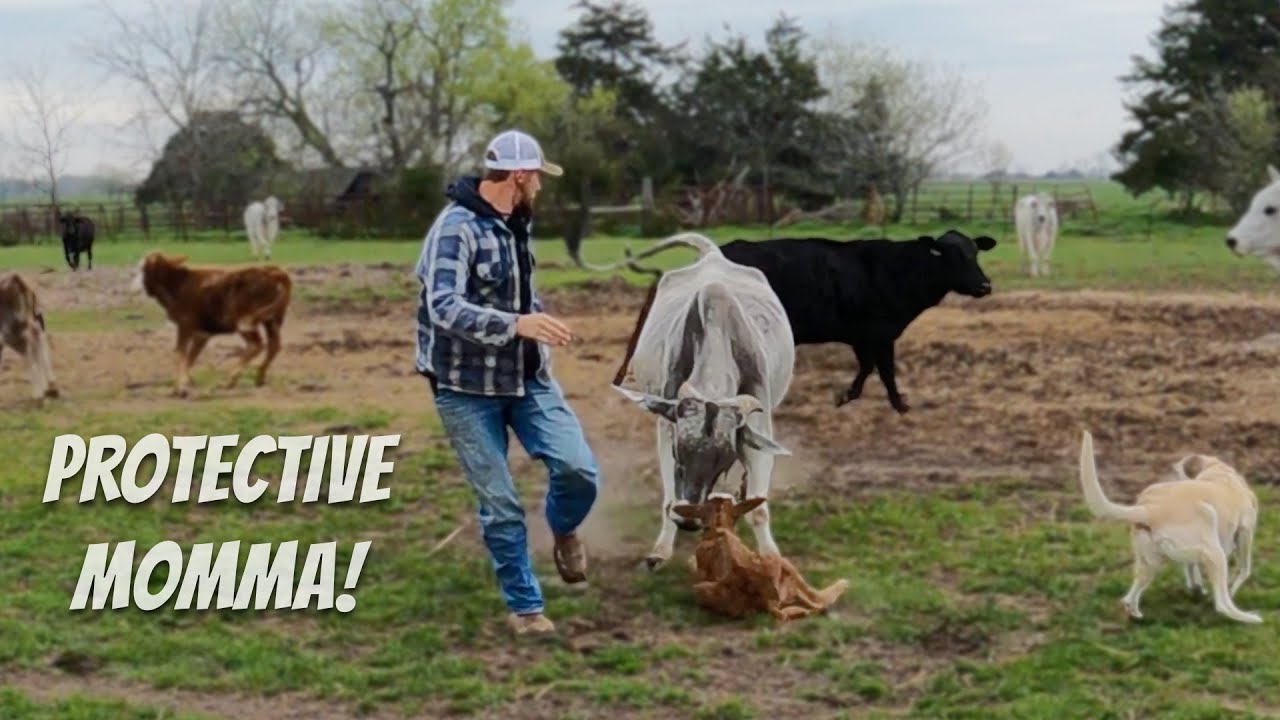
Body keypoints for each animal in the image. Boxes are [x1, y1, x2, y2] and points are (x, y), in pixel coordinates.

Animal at [129, 252, 292, 397]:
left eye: (143, 268)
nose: (133, 287)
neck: (178, 285)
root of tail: (271, 271)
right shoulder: (201, 333)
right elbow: (191, 357)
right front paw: (184, 383)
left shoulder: (185, 325)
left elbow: (181, 353)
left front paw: (180, 388)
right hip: (273, 320)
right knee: (274, 345)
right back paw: (259, 377)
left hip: (245, 322)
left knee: (256, 345)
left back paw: (230, 380)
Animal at [605, 232, 795, 571]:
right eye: (680, 449)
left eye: (724, 458)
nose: (689, 522)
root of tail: (713, 255)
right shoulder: (667, 427)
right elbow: (670, 497)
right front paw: (661, 549)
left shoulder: (758, 429)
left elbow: (757, 507)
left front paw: (769, 555)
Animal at [709, 230, 997, 414]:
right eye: (953, 256)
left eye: (975, 253)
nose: (985, 286)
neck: (898, 271)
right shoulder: (879, 334)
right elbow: (884, 370)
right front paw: (897, 404)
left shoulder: (867, 337)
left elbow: (872, 367)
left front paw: (853, 396)